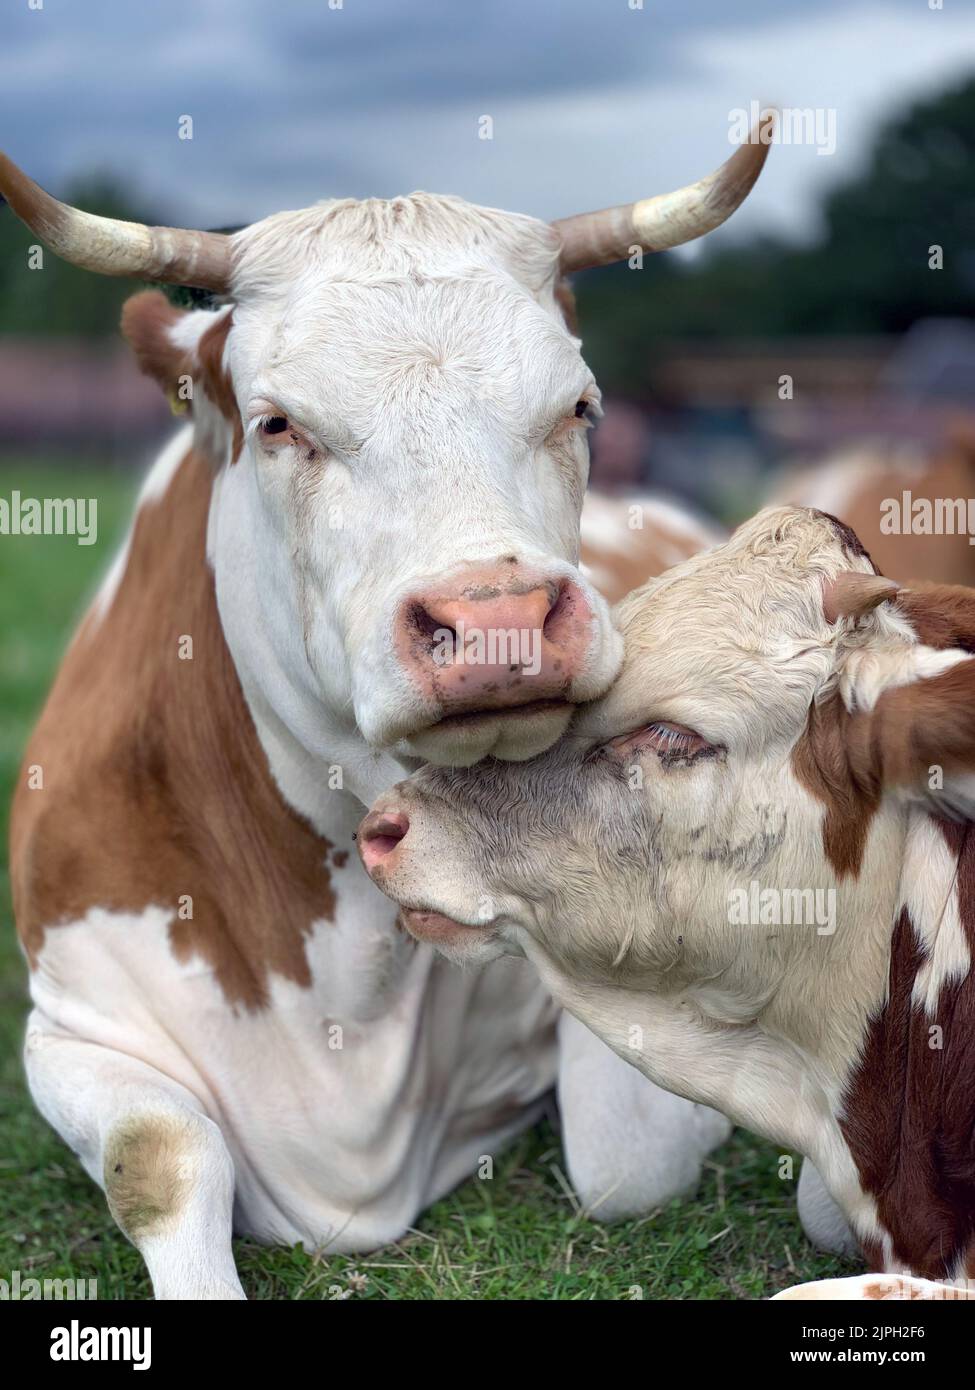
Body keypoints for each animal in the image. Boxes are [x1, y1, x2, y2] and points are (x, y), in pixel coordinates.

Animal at [3, 127, 769, 1299]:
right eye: (279, 424)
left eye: (578, 407)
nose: (497, 620)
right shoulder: (71, 1019)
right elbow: (162, 1154)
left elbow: (622, 1162)